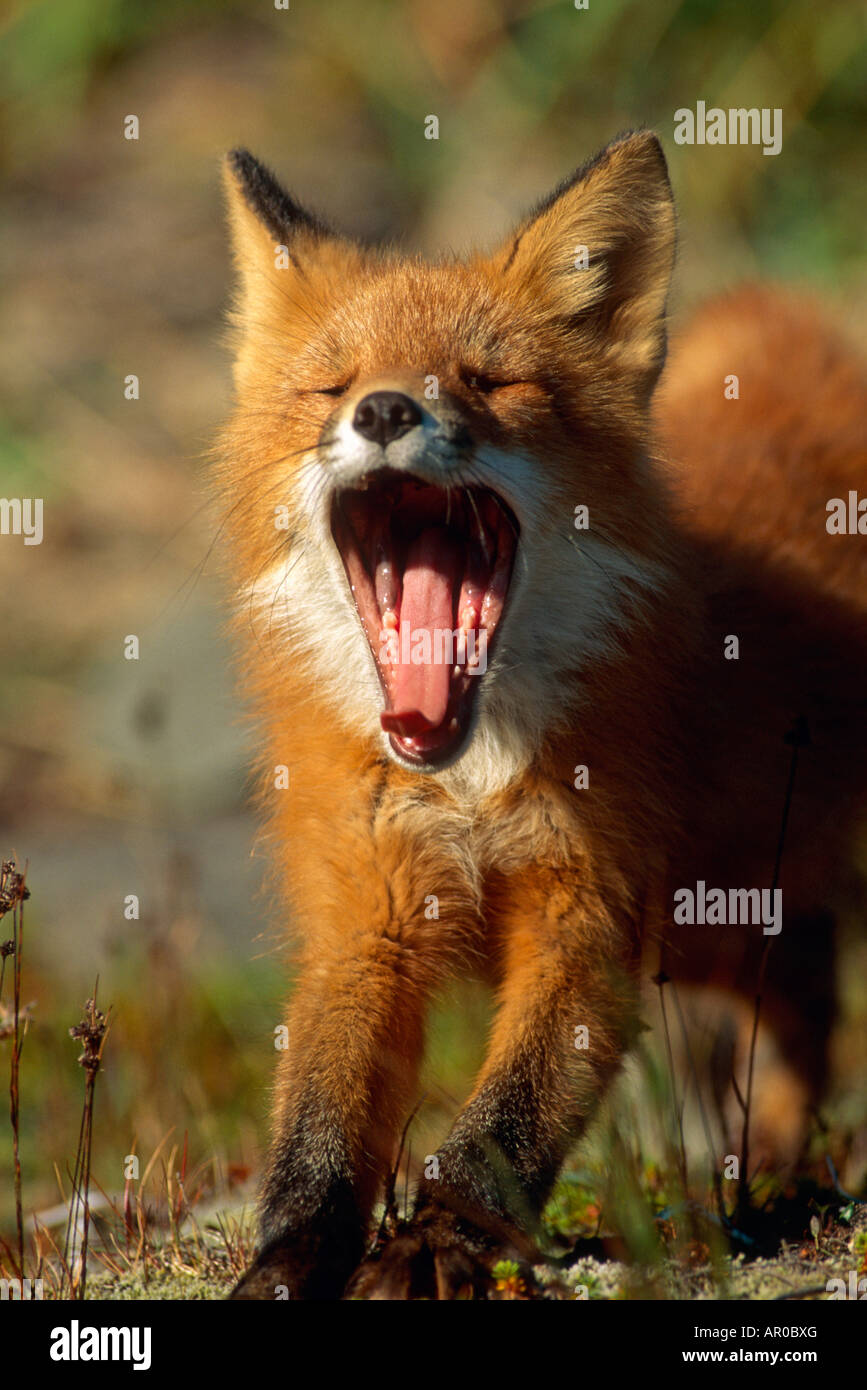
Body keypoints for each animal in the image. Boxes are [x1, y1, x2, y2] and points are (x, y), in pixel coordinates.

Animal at [215, 130, 867, 1300]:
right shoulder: (364, 924)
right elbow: (318, 1139)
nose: (385, 412)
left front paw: (435, 1245)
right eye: (332, 385)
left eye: (487, 380)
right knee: (807, 977)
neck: (467, 779)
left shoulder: (589, 921)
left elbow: (500, 1132)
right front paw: (290, 1262)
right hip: (720, 916)